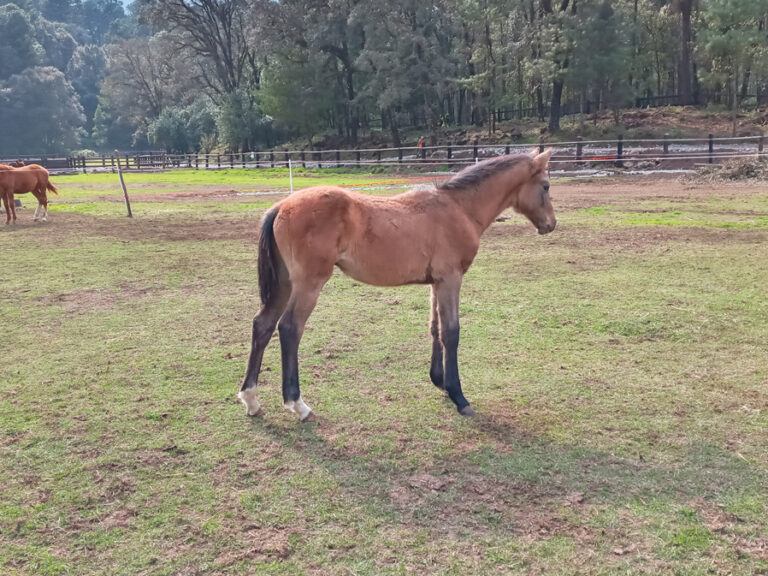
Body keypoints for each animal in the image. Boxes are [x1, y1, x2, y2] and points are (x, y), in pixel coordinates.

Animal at [237, 149, 556, 421]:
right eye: (546, 186)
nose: (551, 224)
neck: (459, 210)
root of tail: (280, 206)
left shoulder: (436, 282)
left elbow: (435, 329)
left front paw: (439, 381)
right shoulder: (451, 278)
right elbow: (451, 332)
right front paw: (459, 397)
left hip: (285, 282)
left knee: (263, 324)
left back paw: (251, 399)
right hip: (308, 283)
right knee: (290, 328)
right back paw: (297, 404)